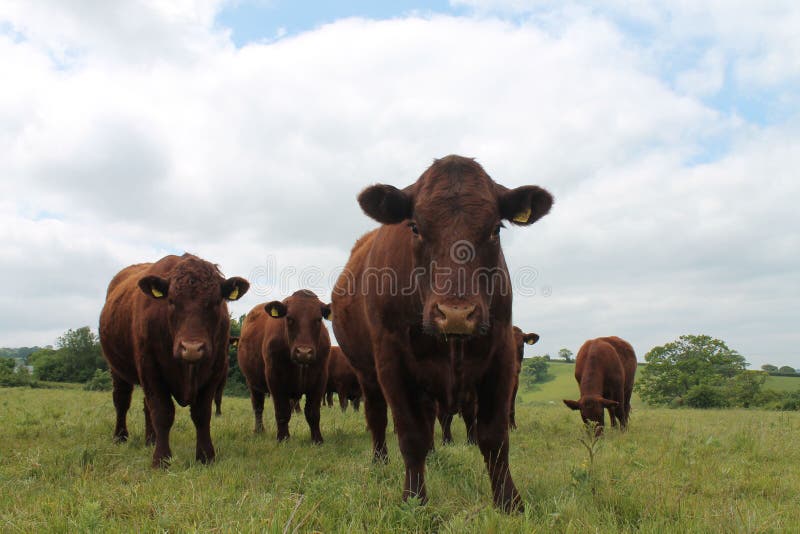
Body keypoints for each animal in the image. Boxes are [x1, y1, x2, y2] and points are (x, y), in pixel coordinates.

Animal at [98, 253, 249, 467]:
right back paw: (120, 437)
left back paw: (150, 439)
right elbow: (162, 413)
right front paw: (161, 459)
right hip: (118, 370)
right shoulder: (150, 369)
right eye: (171, 301)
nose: (192, 348)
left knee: (146, 406)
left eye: (216, 301)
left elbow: (202, 414)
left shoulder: (214, 371)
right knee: (121, 400)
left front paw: (205, 456)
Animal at [237, 290, 332, 443]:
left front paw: (317, 439)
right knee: (258, 407)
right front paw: (283, 438)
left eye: (318, 319)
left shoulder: (320, 377)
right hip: (252, 383)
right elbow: (282, 411)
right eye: (289, 318)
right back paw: (259, 430)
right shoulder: (274, 377)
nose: (303, 352)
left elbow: (313, 412)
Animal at [331, 155, 553, 512]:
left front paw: (509, 503)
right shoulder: (392, 361)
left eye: (496, 229)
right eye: (415, 227)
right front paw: (414, 501)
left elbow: (494, 437)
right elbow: (411, 435)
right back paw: (380, 461)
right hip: (366, 372)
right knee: (377, 416)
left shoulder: (501, 354)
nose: (456, 315)